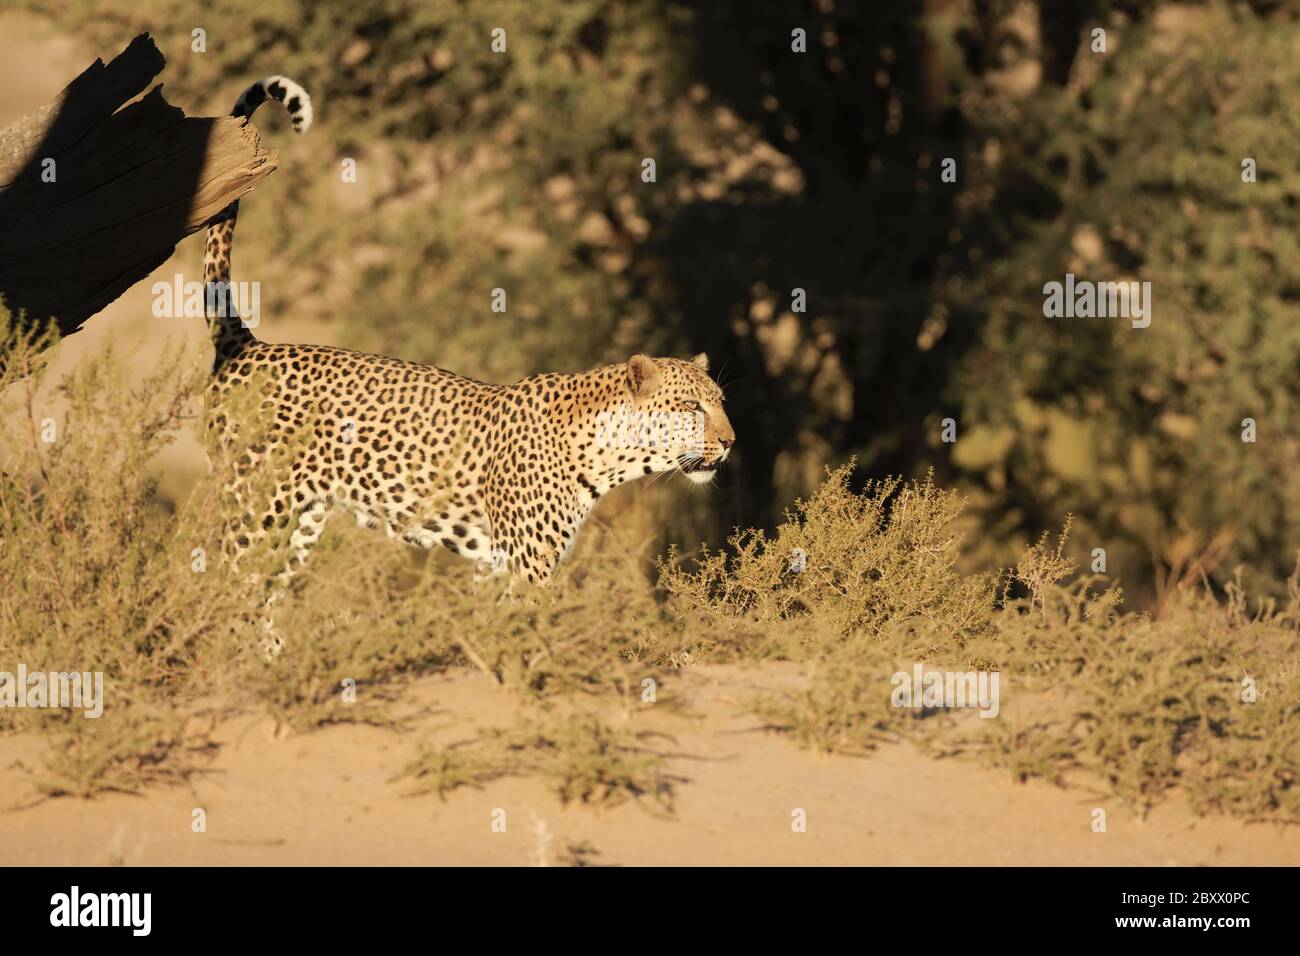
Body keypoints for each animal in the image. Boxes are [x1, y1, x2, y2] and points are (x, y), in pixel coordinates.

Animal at [201, 76, 736, 603]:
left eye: (721, 402)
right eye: (691, 406)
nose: (730, 442)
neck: (606, 451)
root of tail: (247, 344)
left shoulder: (495, 567)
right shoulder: (526, 565)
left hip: (299, 522)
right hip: (254, 508)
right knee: (215, 589)